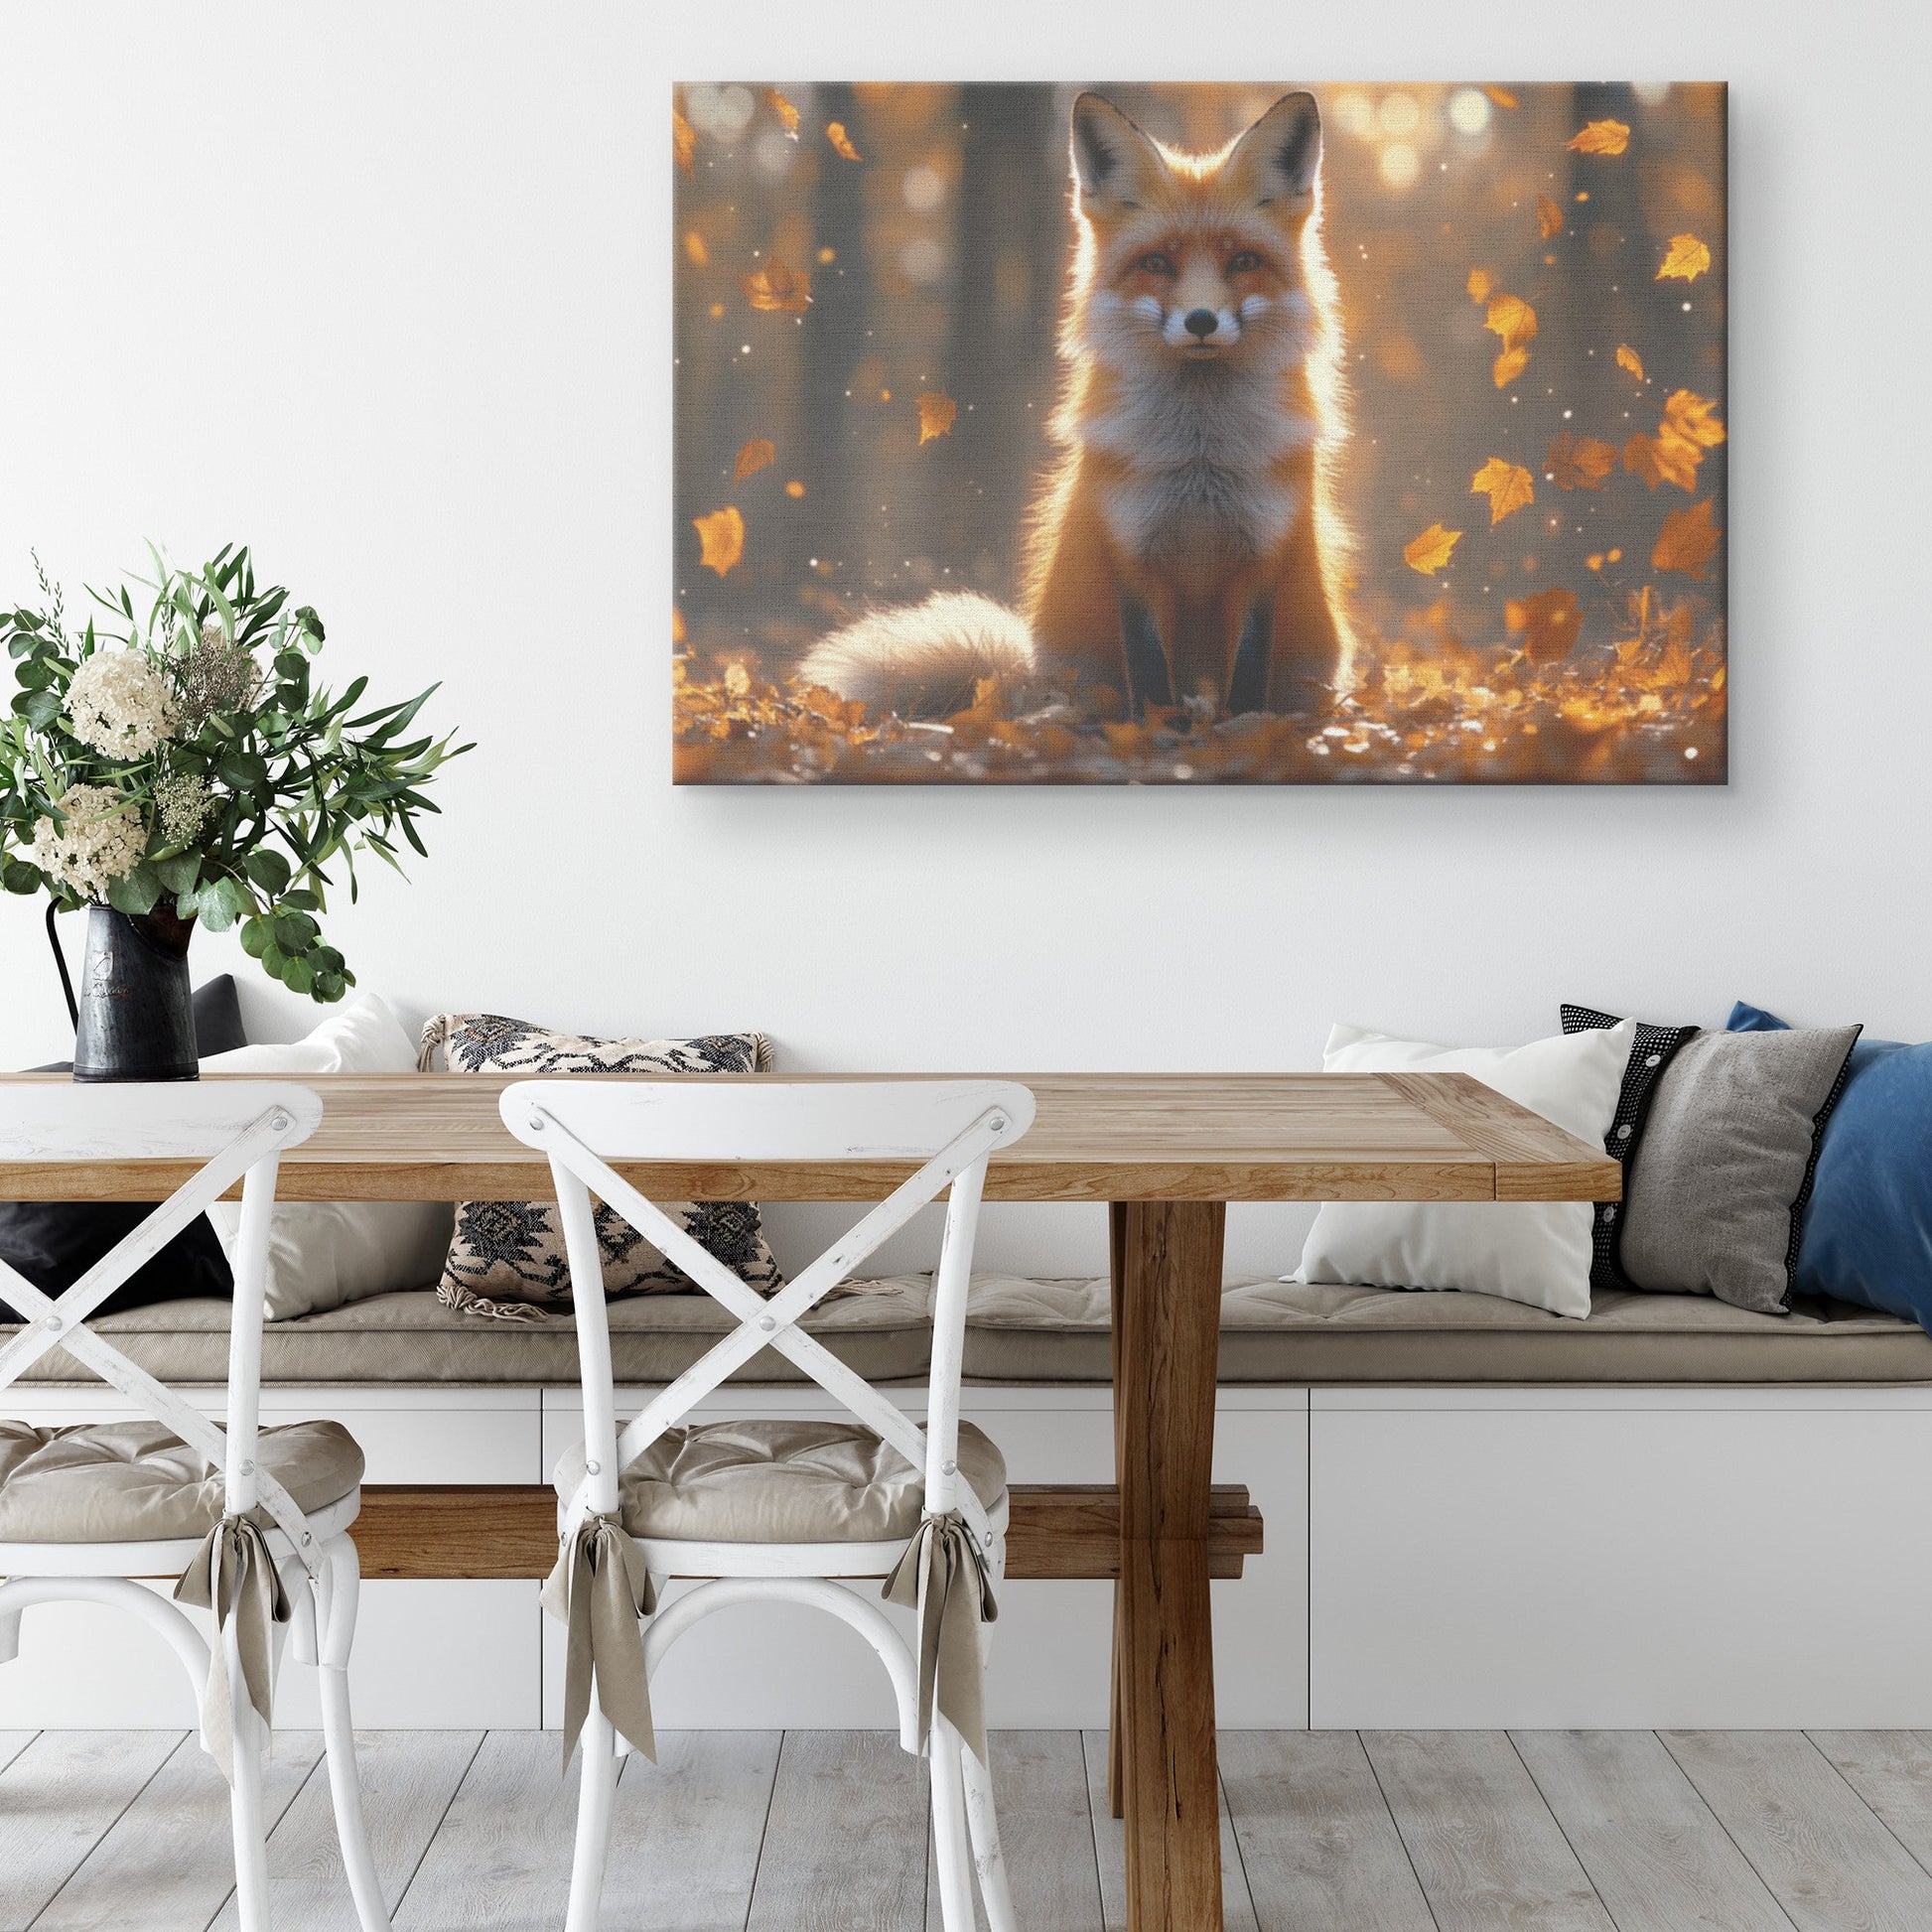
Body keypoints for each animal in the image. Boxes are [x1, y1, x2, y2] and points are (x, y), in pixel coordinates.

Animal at [798, 89, 1355, 720]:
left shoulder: (1265, 552)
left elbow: (1248, 680)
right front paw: (1152, 729)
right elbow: (1147, 672)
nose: (1201, 321)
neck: (1200, 454)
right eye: (1157, 263)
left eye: (1243, 262)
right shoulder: (1130, 550)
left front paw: (1251, 729)